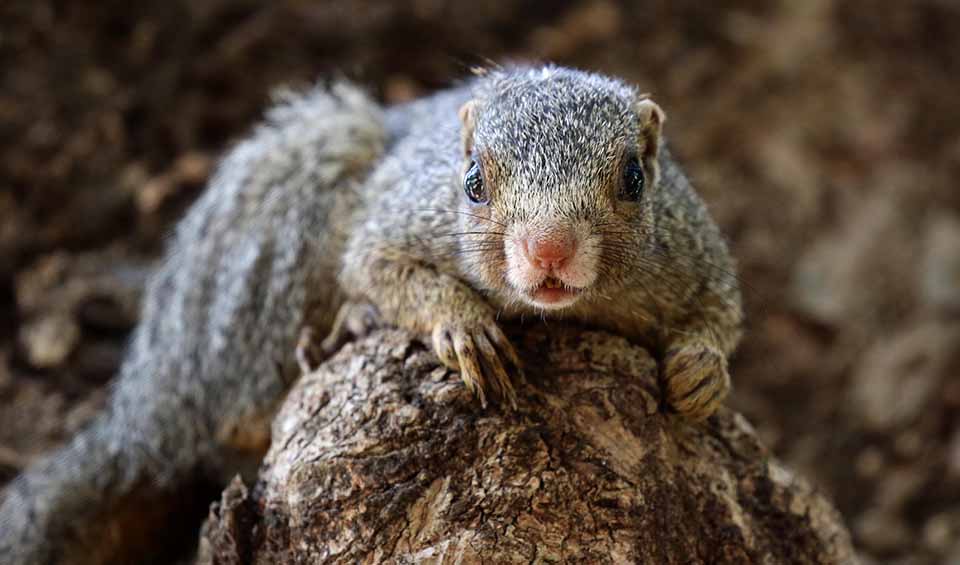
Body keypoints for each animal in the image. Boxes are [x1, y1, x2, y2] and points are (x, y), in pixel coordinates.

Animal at [0, 64, 742, 564]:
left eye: (635, 179)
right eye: (473, 182)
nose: (548, 248)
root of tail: (146, 409)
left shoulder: (693, 254)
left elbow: (723, 313)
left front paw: (702, 373)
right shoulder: (398, 218)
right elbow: (376, 268)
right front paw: (461, 324)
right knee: (235, 411)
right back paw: (342, 331)